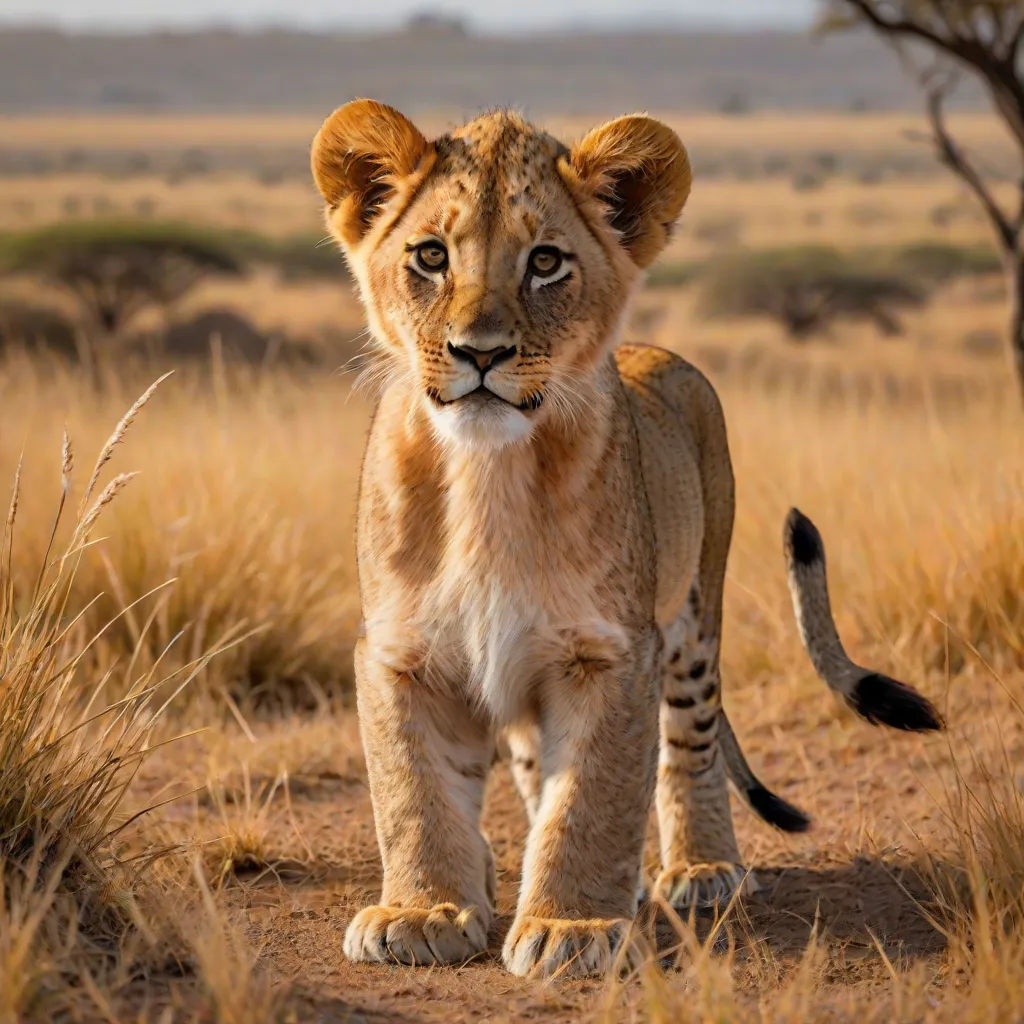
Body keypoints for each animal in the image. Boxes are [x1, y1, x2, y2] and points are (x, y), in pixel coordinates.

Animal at [309, 100, 943, 979]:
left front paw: (570, 925)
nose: (480, 353)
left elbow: (595, 794)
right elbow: (414, 790)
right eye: (430, 256)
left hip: (693, 618)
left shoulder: (611, 650)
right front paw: (423, 910)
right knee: (534, 766)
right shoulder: (402, 650)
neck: (486, 472)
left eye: (545, 262)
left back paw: (701, 870)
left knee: (688, 745)